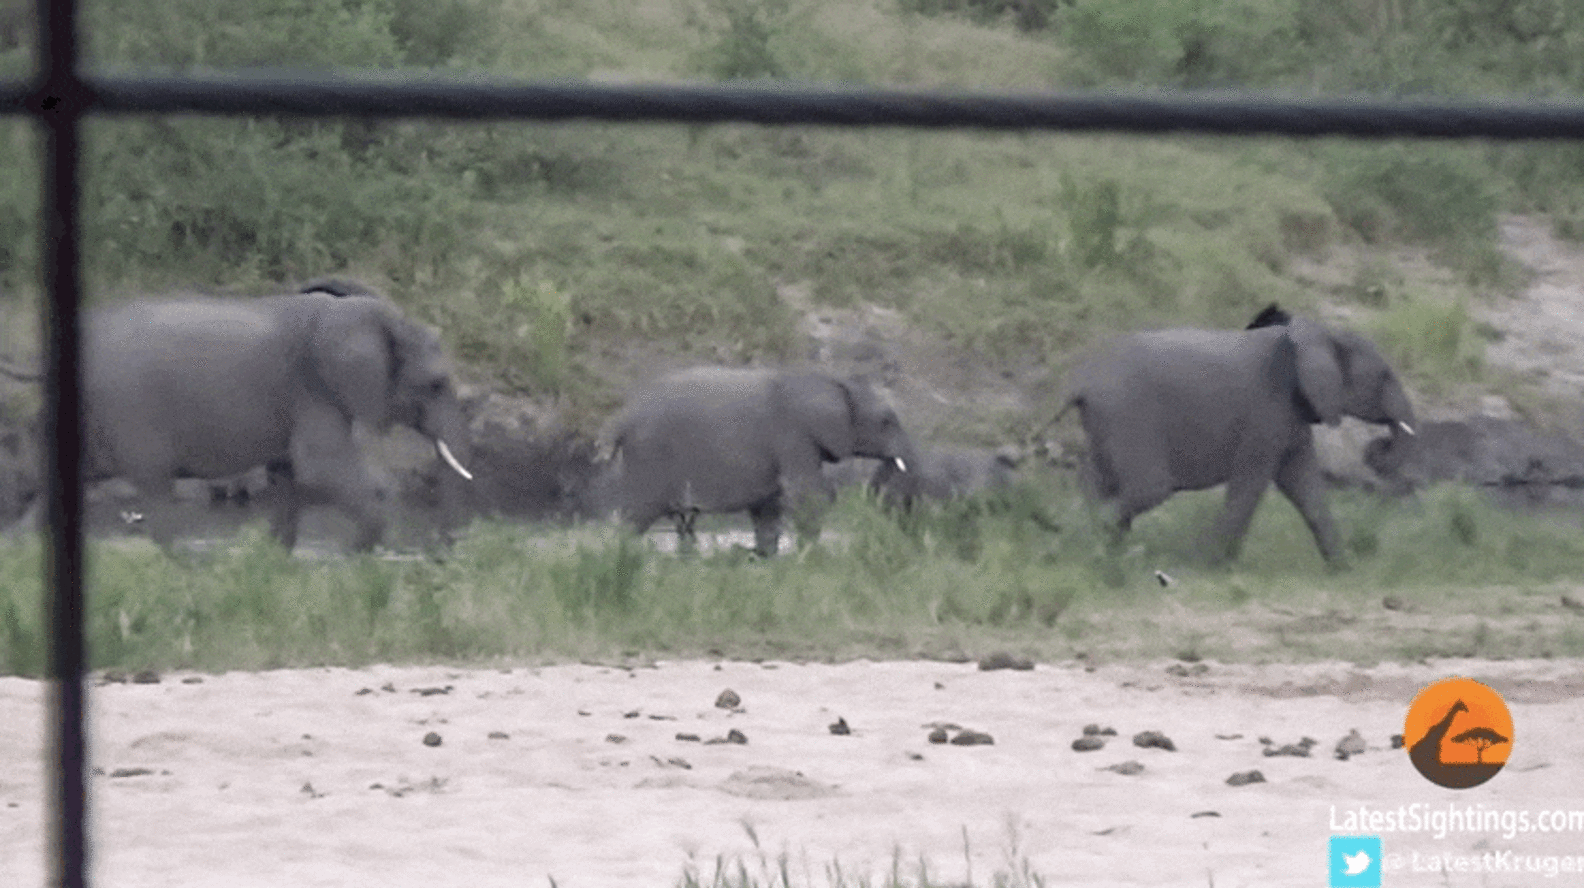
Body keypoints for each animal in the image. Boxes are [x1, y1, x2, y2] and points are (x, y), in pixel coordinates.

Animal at [73, 288, 473, 552]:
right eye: (436, 384)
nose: (443, 551)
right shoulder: (314, 389)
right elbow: (320, 470)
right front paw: (359, 559)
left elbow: (288, 476)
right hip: (129, 410)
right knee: (156, 491)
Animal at [598, 367, 919, 555]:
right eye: (887, 421)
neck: (832, 381)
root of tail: (622, 418)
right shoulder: (794, 436)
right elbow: (807, 494)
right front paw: (810, 556)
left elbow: (769, 506)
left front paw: (768, 559)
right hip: (650, 458)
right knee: (636, 516)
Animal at [1052, 304, 1415, 566]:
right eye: (1384, 376)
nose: (1381, 444)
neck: (1317, 333)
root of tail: (1081, 382)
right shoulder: (1266, 412)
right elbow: (1251, 485)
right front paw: (1209, 566)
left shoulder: (1290, 417)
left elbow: (1306, 488)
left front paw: (1343, 570)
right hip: (1130, 417)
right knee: (1149, 489)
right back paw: (1088, 543)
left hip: (1106, 423)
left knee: (1094, 478)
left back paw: (1096, 547)